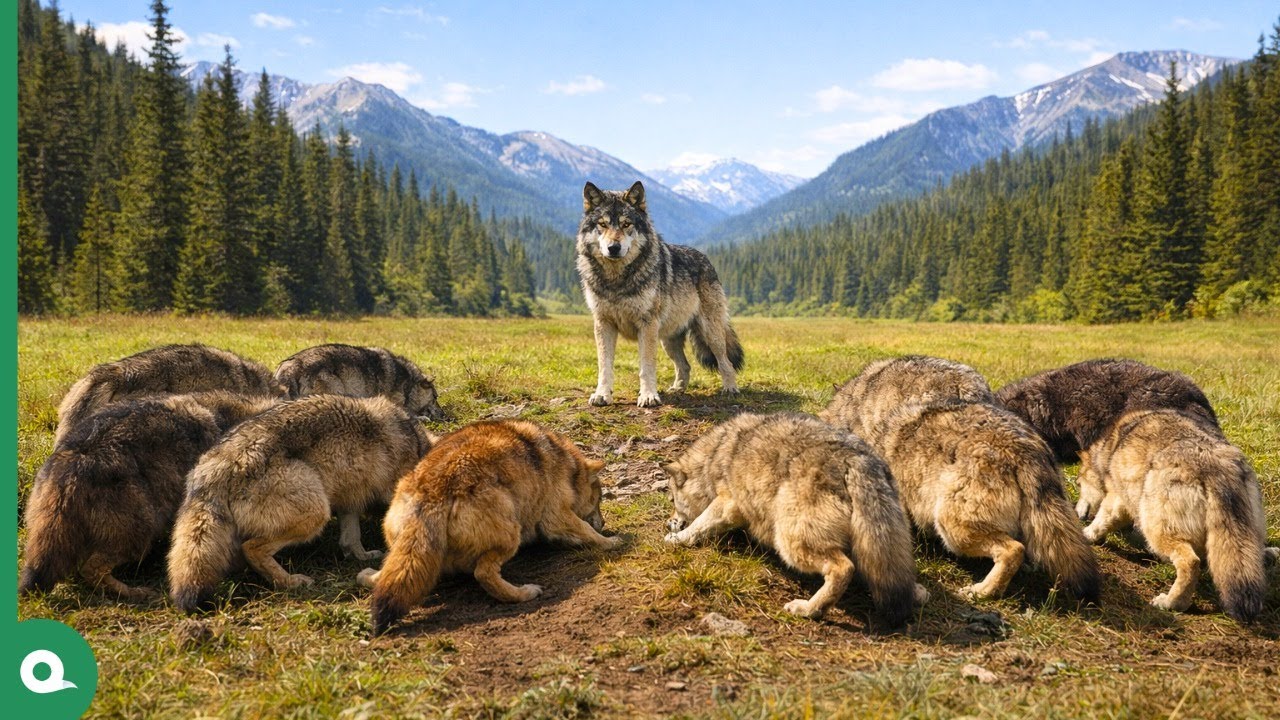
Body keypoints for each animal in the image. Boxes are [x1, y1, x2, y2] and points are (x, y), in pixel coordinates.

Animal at [168, 395, 433, 613]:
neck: (418, 446)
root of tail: (216, 469)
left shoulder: (350, 499)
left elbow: (350, 539)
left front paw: (362, 555)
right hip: (316, 513)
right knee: (251, 549)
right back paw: (292, 582)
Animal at [363, 419, 618, 635]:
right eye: (598, 500)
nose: (605, 523)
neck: (567, 463)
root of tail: (432, 492)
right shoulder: (556, 515)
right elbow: (586, 529)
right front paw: (610, 542)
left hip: (399, 545)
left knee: (385, 575)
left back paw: (366, 575)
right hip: (511, 531)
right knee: (484, 574)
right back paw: (524, 592)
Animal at [576, 181, 743, 408]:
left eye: (626, 224)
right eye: (602, 224)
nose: (613, 247)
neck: (617, 280)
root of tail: (705, 259)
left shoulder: (647, 325)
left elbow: (646, 367)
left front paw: (648, 396)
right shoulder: (603, 324)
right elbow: (605, 366)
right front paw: (602, 395)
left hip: (709, 333)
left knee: (725, 361)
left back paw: (730, 388)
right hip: (667, 340)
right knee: (685, 365)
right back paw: (678, 389)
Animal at [663, 412, 927, 626]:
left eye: (673, 501)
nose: (668, 521)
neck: (714, 455)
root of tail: (856, 460)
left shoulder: (727, 503)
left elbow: (699, 524)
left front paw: (677, 538)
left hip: (790, 540)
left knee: (843, 568)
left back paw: (810, 609)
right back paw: (917, 591)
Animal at [1079, 409, 1271, 622]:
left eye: (1078, 482)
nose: (1078, 513)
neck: (1110, 444)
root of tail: (1214, 466)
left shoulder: (1117, 497)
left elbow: (1102, 519)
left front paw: (1087, 533)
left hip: (1155, 526)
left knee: (1190, 562)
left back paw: (1171, 603)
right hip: (1247, 533)